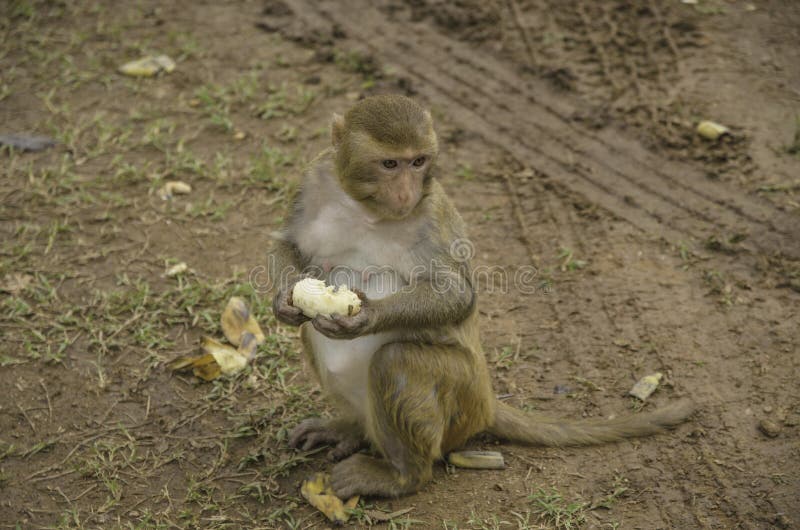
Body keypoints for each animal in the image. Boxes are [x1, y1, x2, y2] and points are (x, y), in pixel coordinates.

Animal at [270, 94, 693, 499]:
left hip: (462, 399)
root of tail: (487, 401)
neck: (366, 209)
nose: (406, 192)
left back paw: (402, 476)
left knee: (396, 361)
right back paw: (351, 428)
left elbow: (456, 295)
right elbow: (289, 244)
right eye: (390, 164)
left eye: (418, 162)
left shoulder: (432, 214)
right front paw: (284, 302)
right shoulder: (315, 181)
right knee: (312, 333)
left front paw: (366, 316)